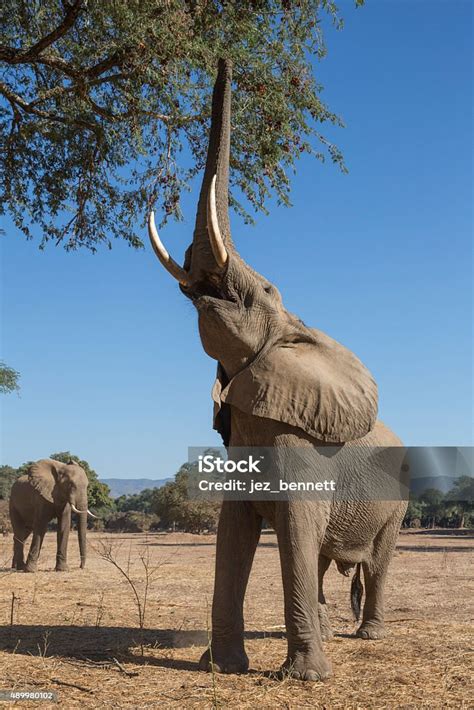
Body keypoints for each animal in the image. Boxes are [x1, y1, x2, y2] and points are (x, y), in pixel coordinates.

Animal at [147, 58, 408, 681]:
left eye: (265, 290)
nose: (223, 59)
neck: (299, 331)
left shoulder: (300, 446)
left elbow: (292, 531)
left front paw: (305, 678)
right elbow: (232, 533)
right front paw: (222, 667)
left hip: (399, 504)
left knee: (377, 559)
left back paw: (368, 636)